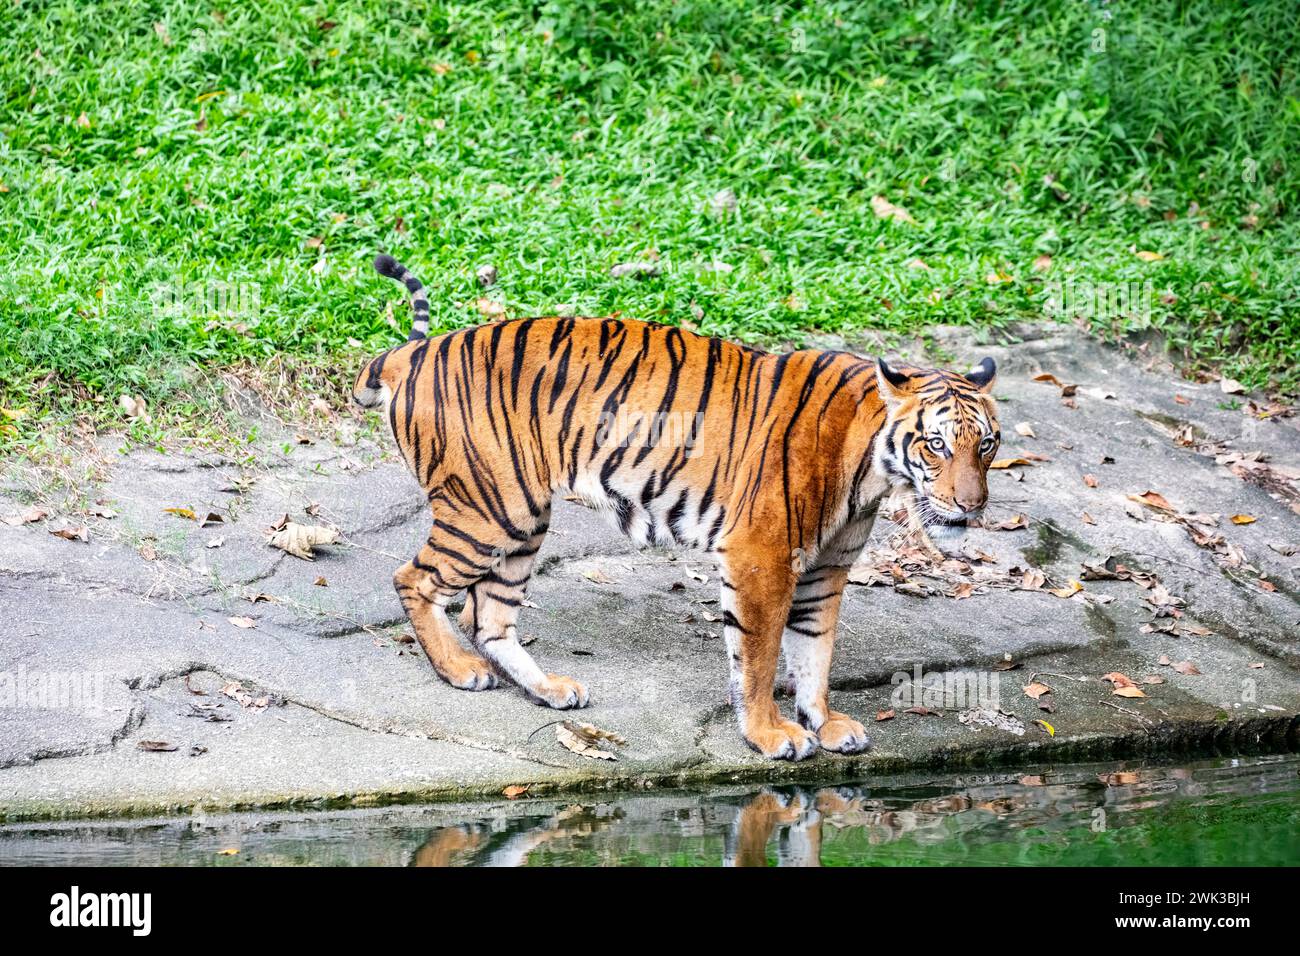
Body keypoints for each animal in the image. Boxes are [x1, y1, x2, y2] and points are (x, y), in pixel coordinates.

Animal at [354, 254, 1000, 761]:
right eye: (936, 444)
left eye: (987, 444)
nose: (970, 506)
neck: (871, 473)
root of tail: (411, 354)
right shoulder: (761, 558)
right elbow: (761, 656)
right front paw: (770, 734)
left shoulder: (825, 568)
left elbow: (815, 650)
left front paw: (826, 723)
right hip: (490, 508)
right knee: (414, 579)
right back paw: (459, 671)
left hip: (523, 518)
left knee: (489, 616)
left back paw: (550, 689)